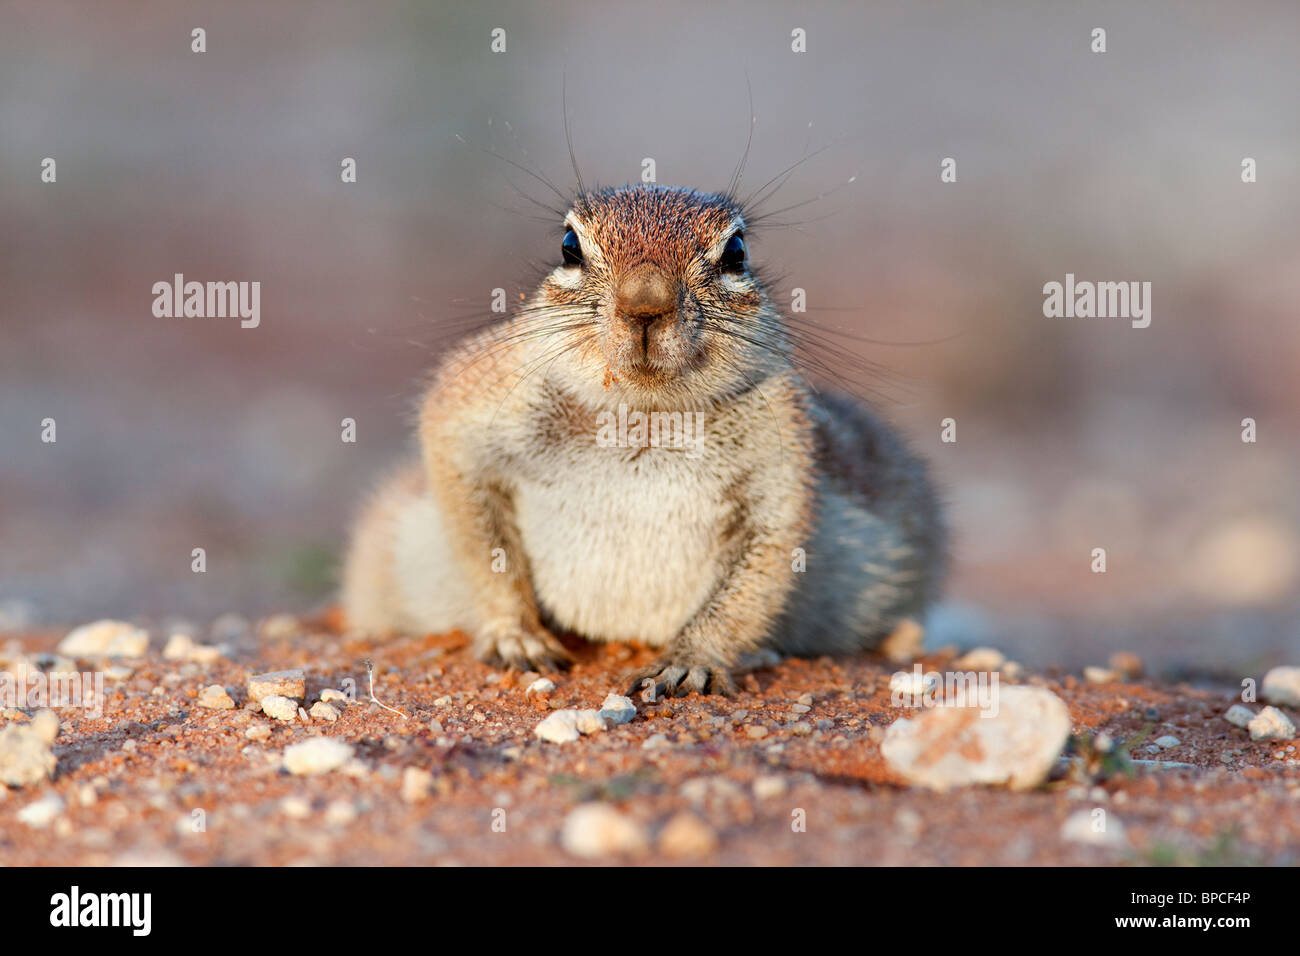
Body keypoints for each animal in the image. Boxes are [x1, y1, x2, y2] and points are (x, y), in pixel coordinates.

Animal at [342, 183, 945, 696]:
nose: (645, 305)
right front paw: (517, 635)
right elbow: (476, 539)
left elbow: (759, 575)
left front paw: (689, 659)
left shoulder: (784, 460)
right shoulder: (468, 412)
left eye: (736, 252)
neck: (643, 417)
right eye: (569, 247)